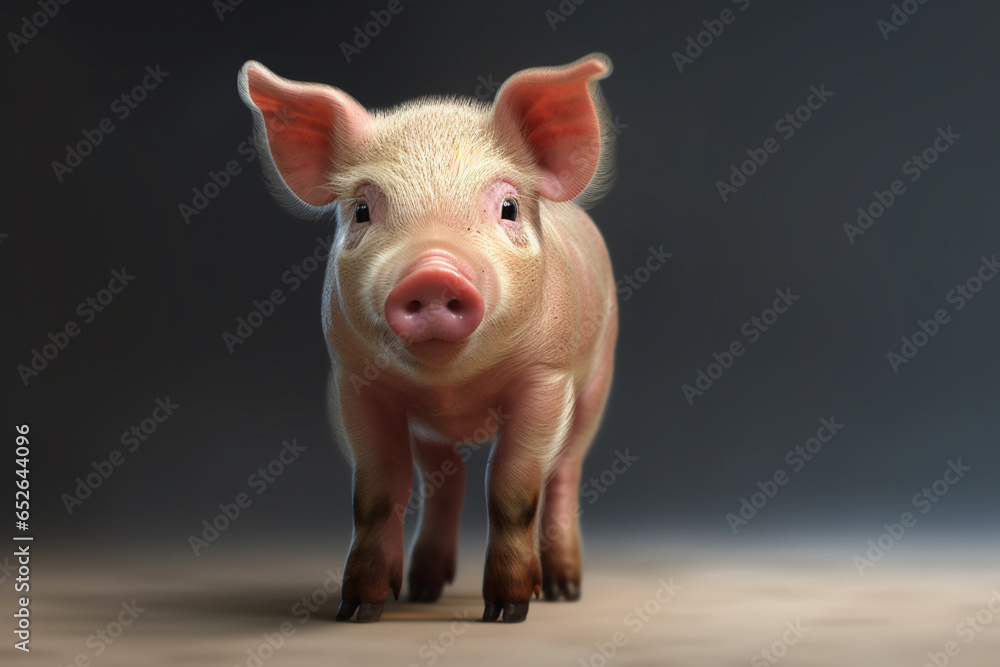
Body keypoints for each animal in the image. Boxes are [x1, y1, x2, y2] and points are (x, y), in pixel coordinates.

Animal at [237, 53, 618, 623]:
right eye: (362, 211)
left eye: (508, 207)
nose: (433, 273)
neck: (451, 388)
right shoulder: (356, 383)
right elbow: (377, 493)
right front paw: (357, 610)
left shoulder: (546, 378)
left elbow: (513, 487)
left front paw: (507, 610)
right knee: (446, 478)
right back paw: (422, 590)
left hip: (597, 378)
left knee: (565, 471)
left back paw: (562, 589)